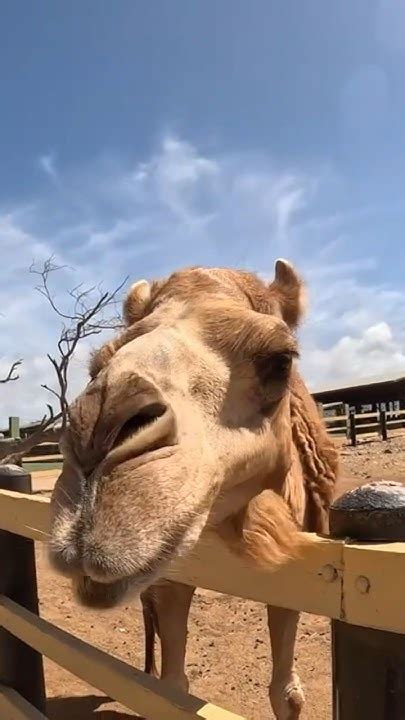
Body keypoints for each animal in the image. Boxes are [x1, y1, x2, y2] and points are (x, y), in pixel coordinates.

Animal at [49, 259, 339, 720]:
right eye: (98, 364)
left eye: (280, 360)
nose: (95, 432)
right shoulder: (171, 575)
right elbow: (172, 687)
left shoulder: (294, 569)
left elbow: (286, 692)